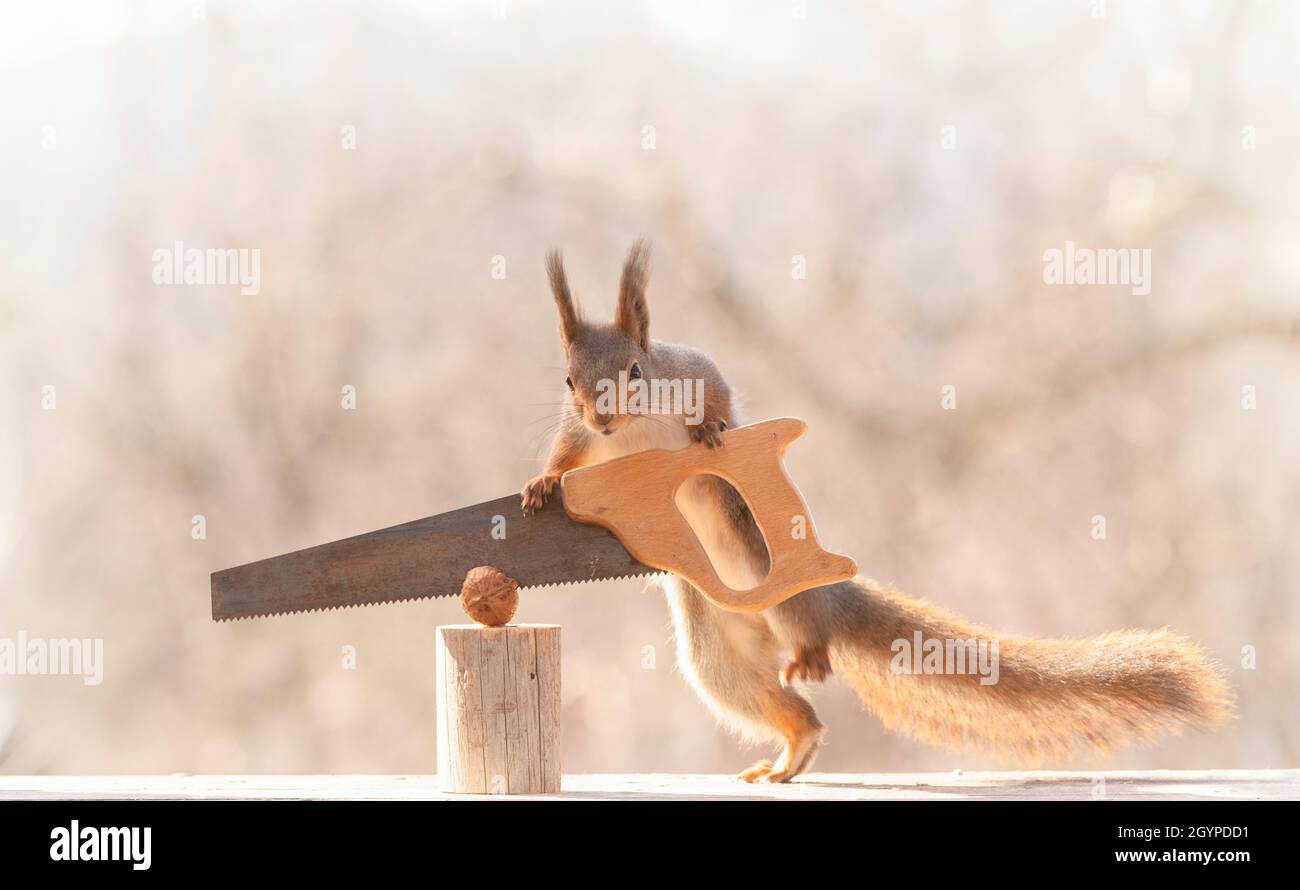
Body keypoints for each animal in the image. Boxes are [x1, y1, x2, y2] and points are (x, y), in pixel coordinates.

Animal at [523, 240, 1234, 783]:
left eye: (636, 371)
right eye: (567, 380)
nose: (603, 416)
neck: (630, 434)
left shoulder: (693, 372)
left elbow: (717, 395)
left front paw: (708, 431)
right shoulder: (583, 441)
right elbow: (564, 455)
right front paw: (541, 485)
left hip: (771, 569)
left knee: (808, 639)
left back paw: (810, 663)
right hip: (716, 647)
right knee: (779, 703)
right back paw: (790, 753)